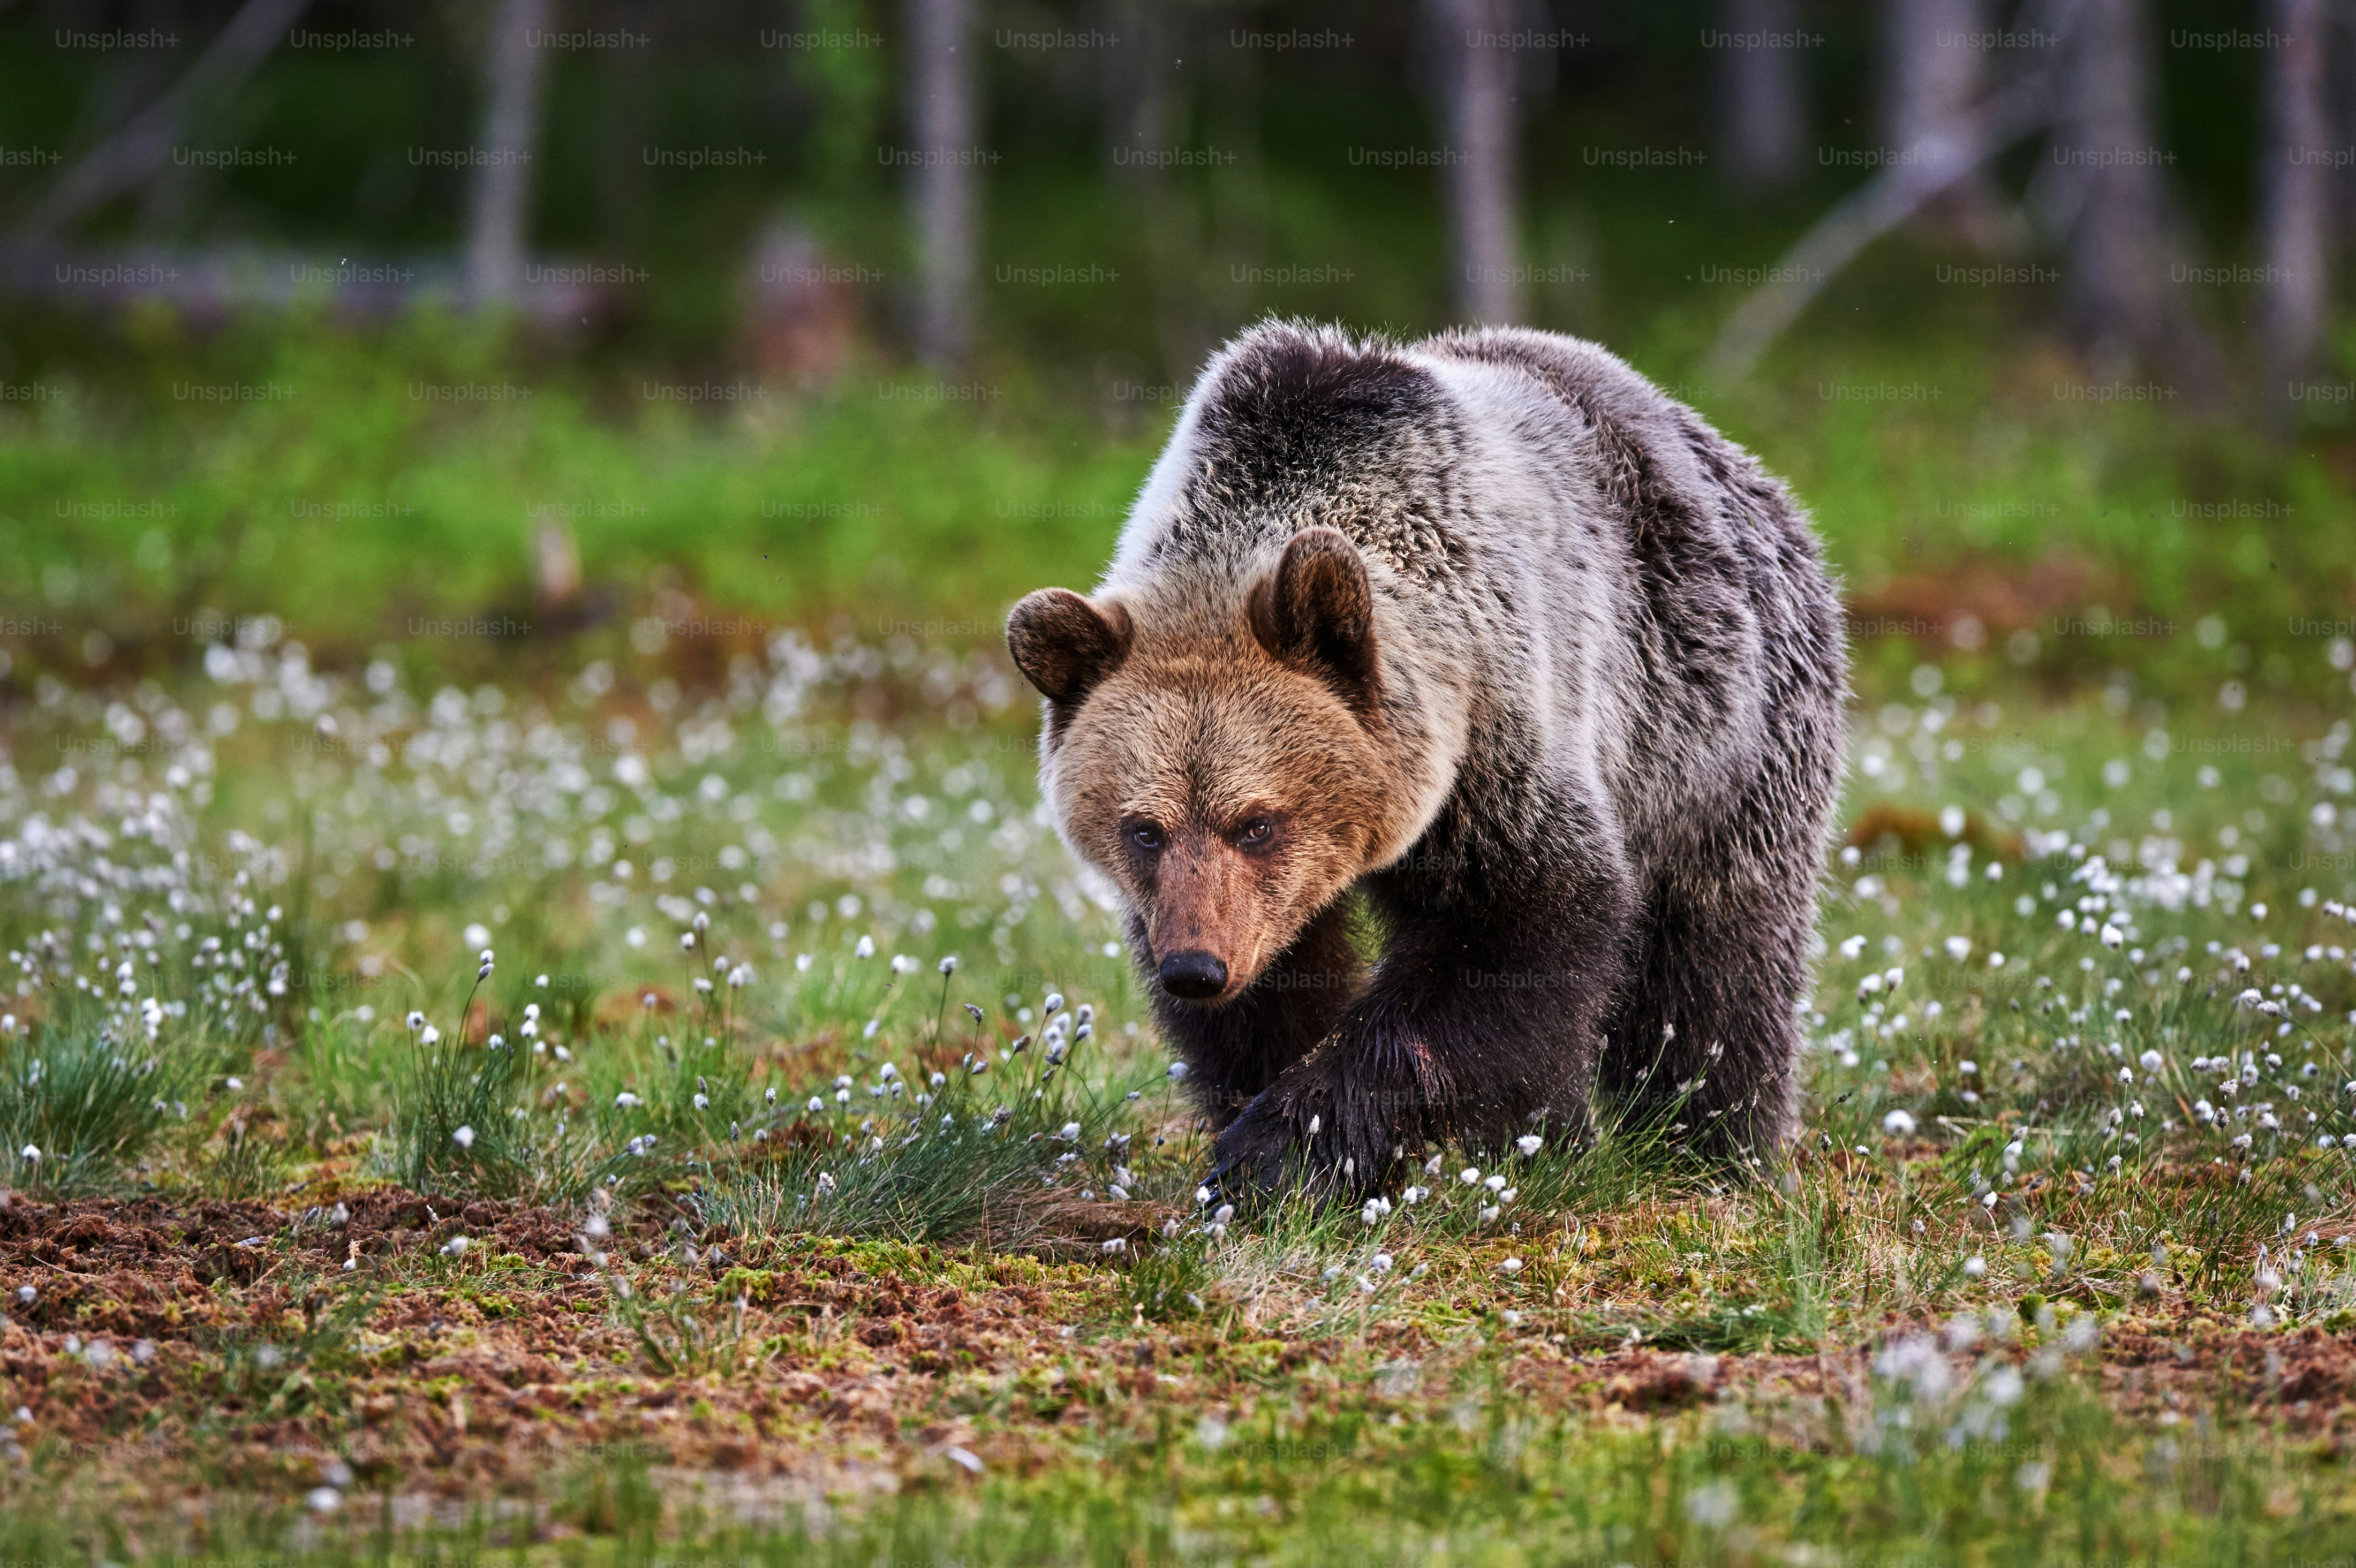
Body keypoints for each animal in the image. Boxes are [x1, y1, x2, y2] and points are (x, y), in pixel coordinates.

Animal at [1006, 320, 1848, 1200]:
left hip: (1718, 731)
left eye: (1258, 823)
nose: (1196, 968)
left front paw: (1279, 1148)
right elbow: (1273, 999)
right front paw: (1271, 1121)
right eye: (1144, 829)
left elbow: (1510, 939)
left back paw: (1713, 1148)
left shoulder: (1500, 733)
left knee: (1717, 964)